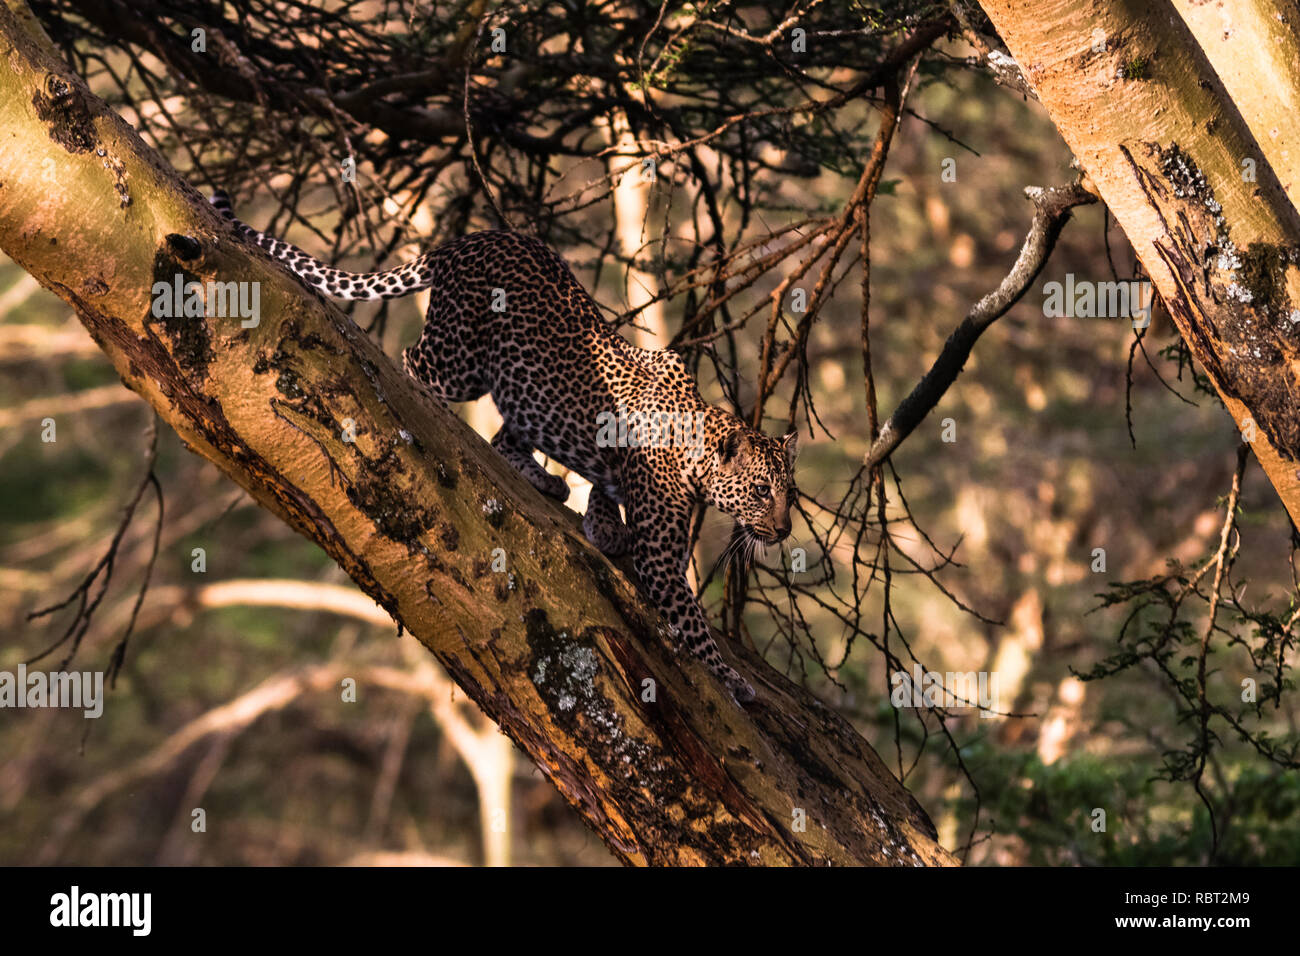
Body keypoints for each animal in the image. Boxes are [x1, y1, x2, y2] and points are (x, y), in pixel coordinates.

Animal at [209, 191, 798, 703]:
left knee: (506, 430)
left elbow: (603, 485)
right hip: (460, 358)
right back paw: (430, 406)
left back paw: (547, 480)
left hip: (518, 381)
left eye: (790, 492)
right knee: (410, 365)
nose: (786, 530)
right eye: (761, 491)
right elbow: (694, 626)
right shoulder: (660, 556)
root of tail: (469, 239)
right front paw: (734, 681)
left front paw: (602, 525)